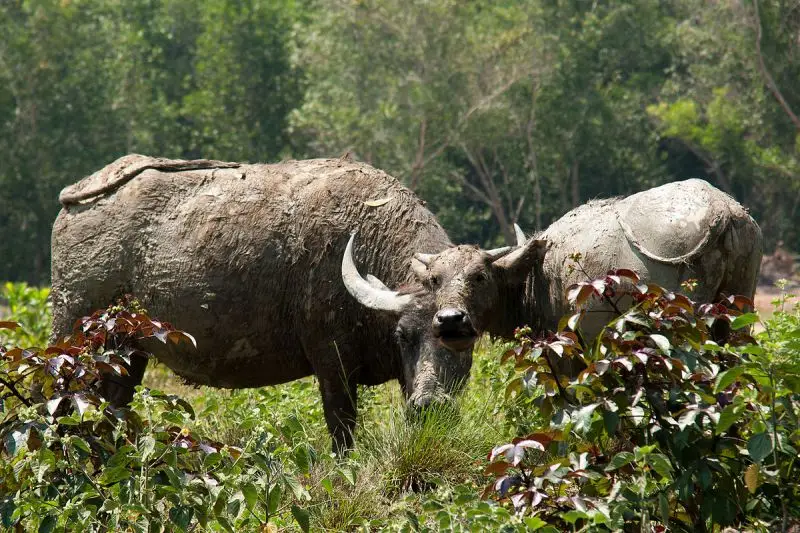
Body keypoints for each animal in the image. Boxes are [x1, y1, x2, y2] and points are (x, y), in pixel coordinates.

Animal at [51, 154, 470, 453]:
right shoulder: (332, 366)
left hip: (126, 355)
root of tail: (76, 201)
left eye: (463, 336)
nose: (431, 405)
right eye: (403, 336)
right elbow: (342, 433)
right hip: (73, 339)